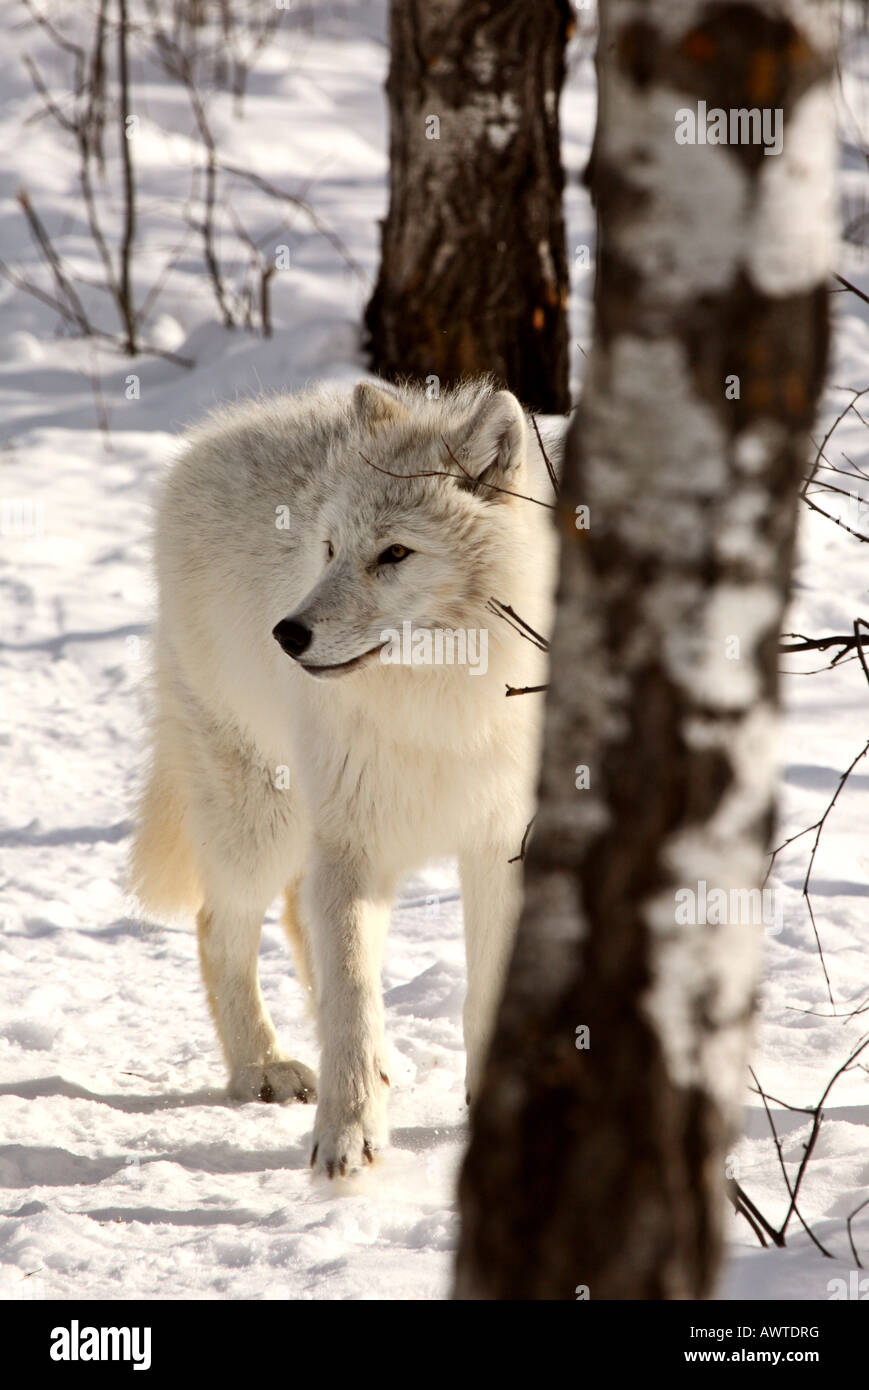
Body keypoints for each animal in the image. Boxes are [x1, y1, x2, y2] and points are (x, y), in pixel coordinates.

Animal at [130, 378, 559, 1178]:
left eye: (394, 553)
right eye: (328, 550)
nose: (287, 634)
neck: (442, 705)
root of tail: (215, 433)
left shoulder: (501, 845)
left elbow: (483, 994)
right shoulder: (354, 843)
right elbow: (353, 997)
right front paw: (348, 1135)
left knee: (296, 920)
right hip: (263, 820)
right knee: (219, 926)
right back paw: (263, 1069)